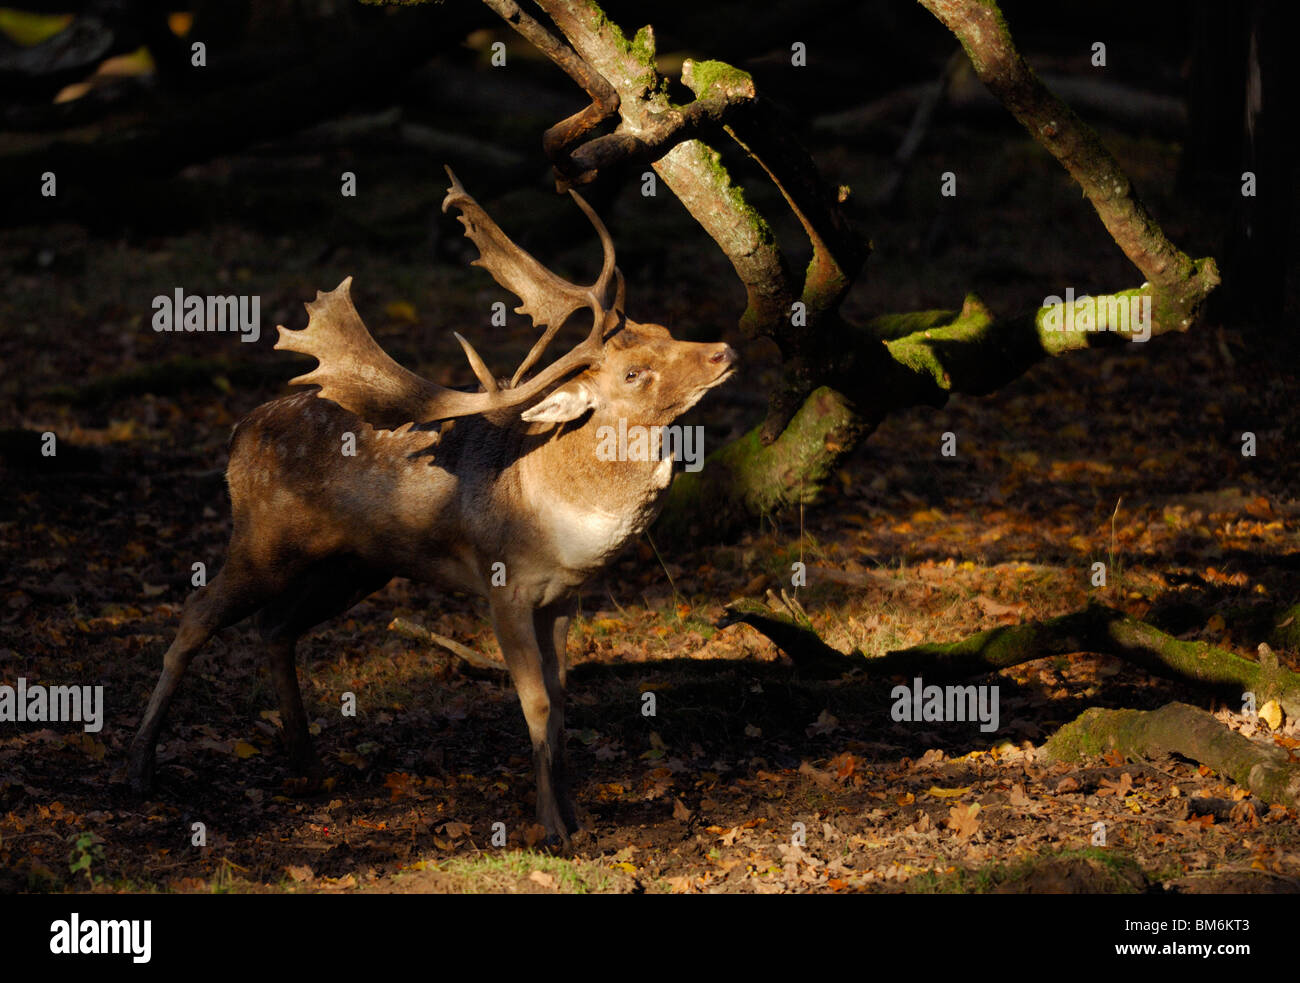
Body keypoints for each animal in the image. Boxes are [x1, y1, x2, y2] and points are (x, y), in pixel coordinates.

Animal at [126, 167, 737, 845]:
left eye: (665, 331)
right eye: (632, 372)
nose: (723, 350)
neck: (559, 514)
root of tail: (236, 435)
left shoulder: (565, 597)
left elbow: (562, 700)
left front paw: (575, 818)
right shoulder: (503, 586)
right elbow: (535, 703)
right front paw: (548, 829)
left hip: (354, 566)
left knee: (275, 627)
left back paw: (308, 767)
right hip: (263, 538)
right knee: (196, 613)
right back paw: (139, 770)